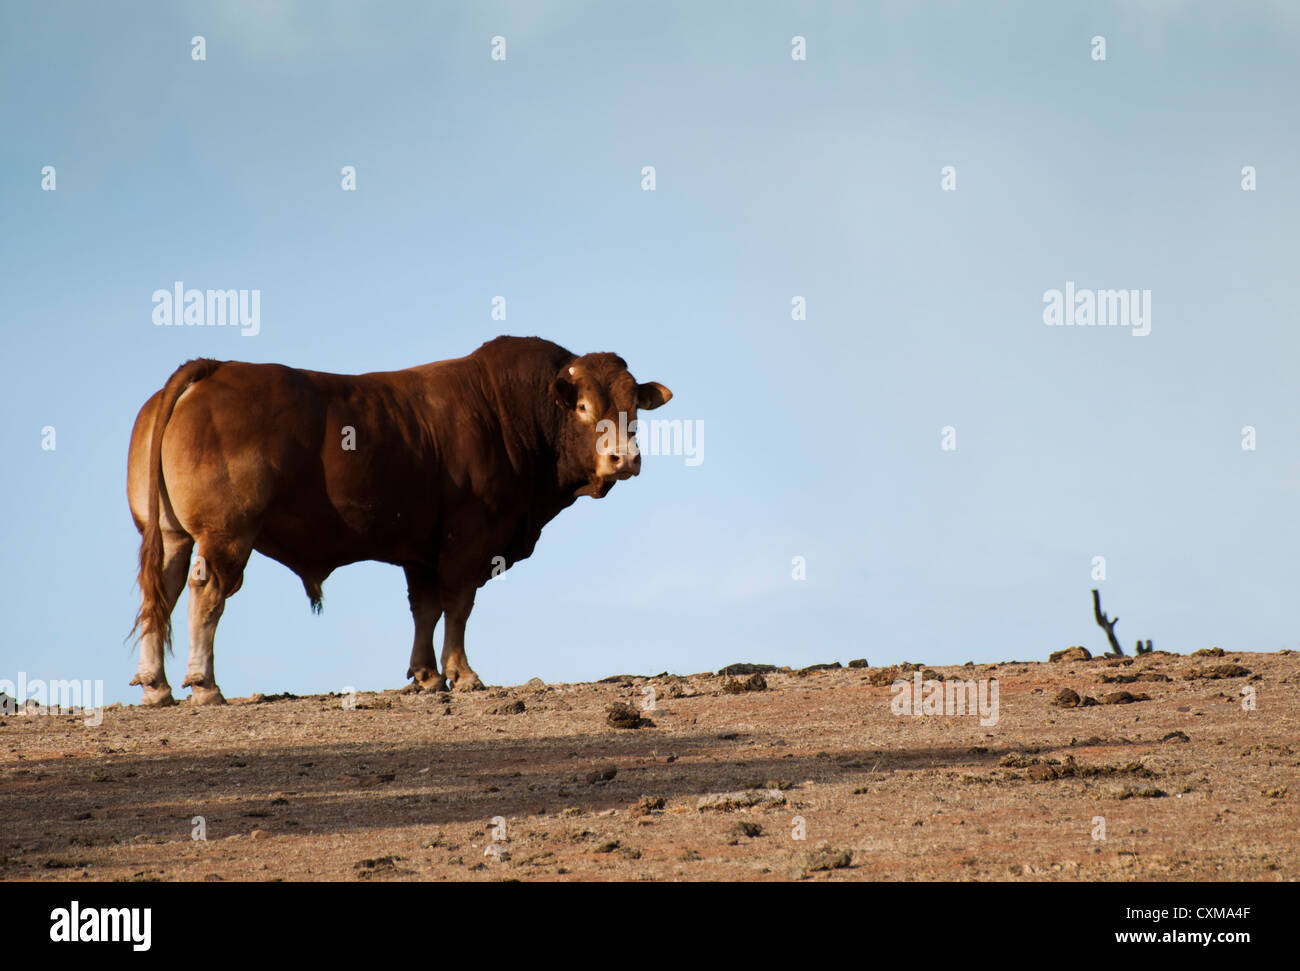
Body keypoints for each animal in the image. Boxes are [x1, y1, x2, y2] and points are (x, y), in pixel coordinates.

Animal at [125, 336, 672, 705]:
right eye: (582, 407)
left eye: (634, 408)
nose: (624, 459)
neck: (508, 414)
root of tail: (214, 368)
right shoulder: (468, 541)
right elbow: (458, 606)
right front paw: (462, 673)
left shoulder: (421, 549)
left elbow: (424, 609)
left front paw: (427, 675)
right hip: (225, 534)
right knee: (206, 593)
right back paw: (204, 684)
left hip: (171, 533)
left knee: (162, 590)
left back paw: (157, 685)